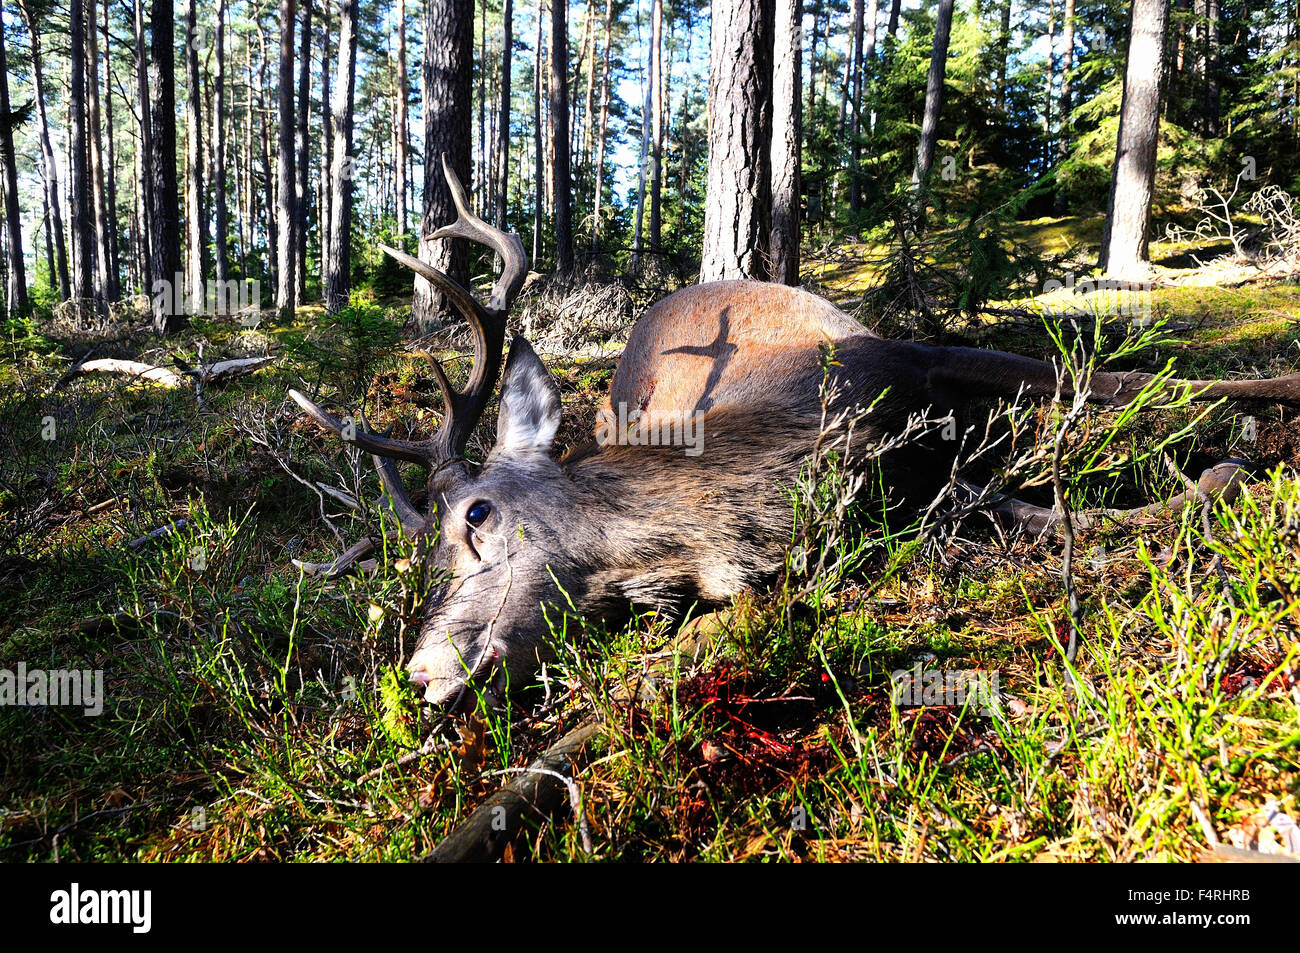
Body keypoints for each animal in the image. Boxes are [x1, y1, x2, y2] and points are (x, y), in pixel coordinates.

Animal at [288, 161, 1300, 710]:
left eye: (478, 514)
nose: (420, 672)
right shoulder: (912, 492)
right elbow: (1053, 514)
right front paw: (1222, 469)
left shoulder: (900, 362)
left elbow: (1131, 384)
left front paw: (1245, 437)